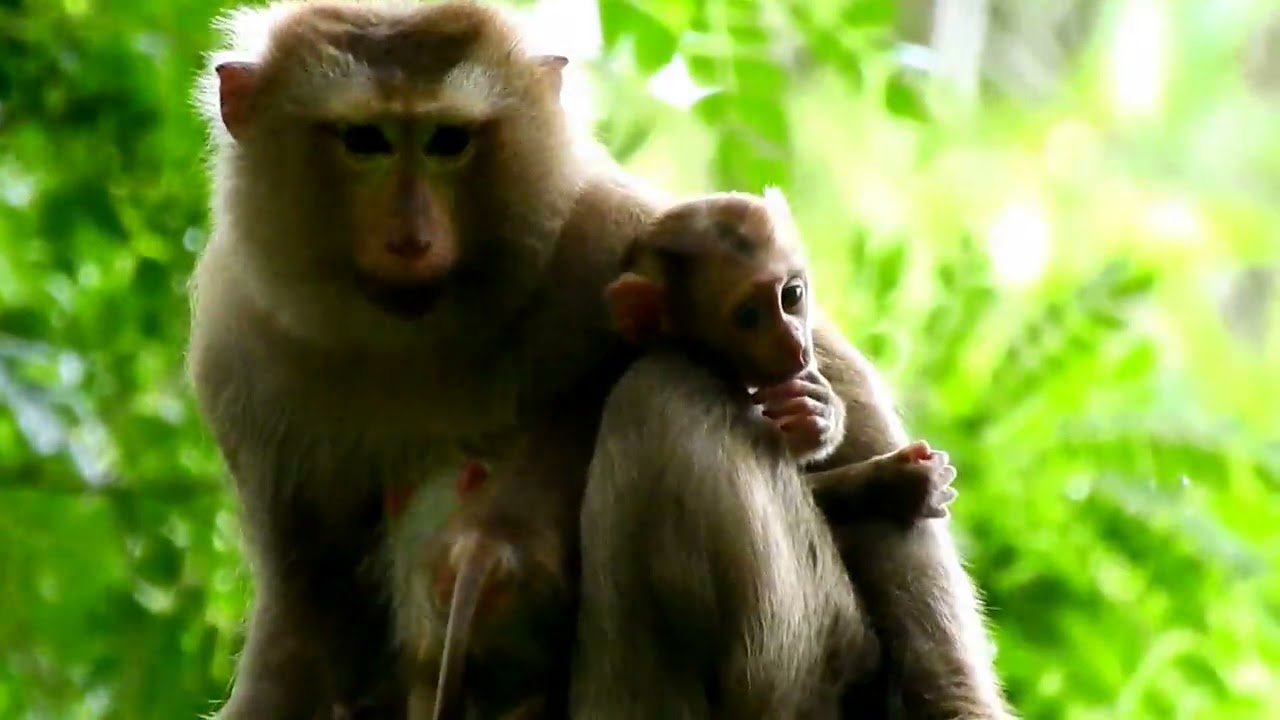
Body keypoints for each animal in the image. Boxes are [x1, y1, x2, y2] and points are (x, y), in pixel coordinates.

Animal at [189, 1, 1010, 717]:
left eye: (449, 140)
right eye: (365, 140)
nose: (411, 238)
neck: (420, 335)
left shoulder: (607, 224)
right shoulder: (238, 352)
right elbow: (308, 617)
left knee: (664, 400)